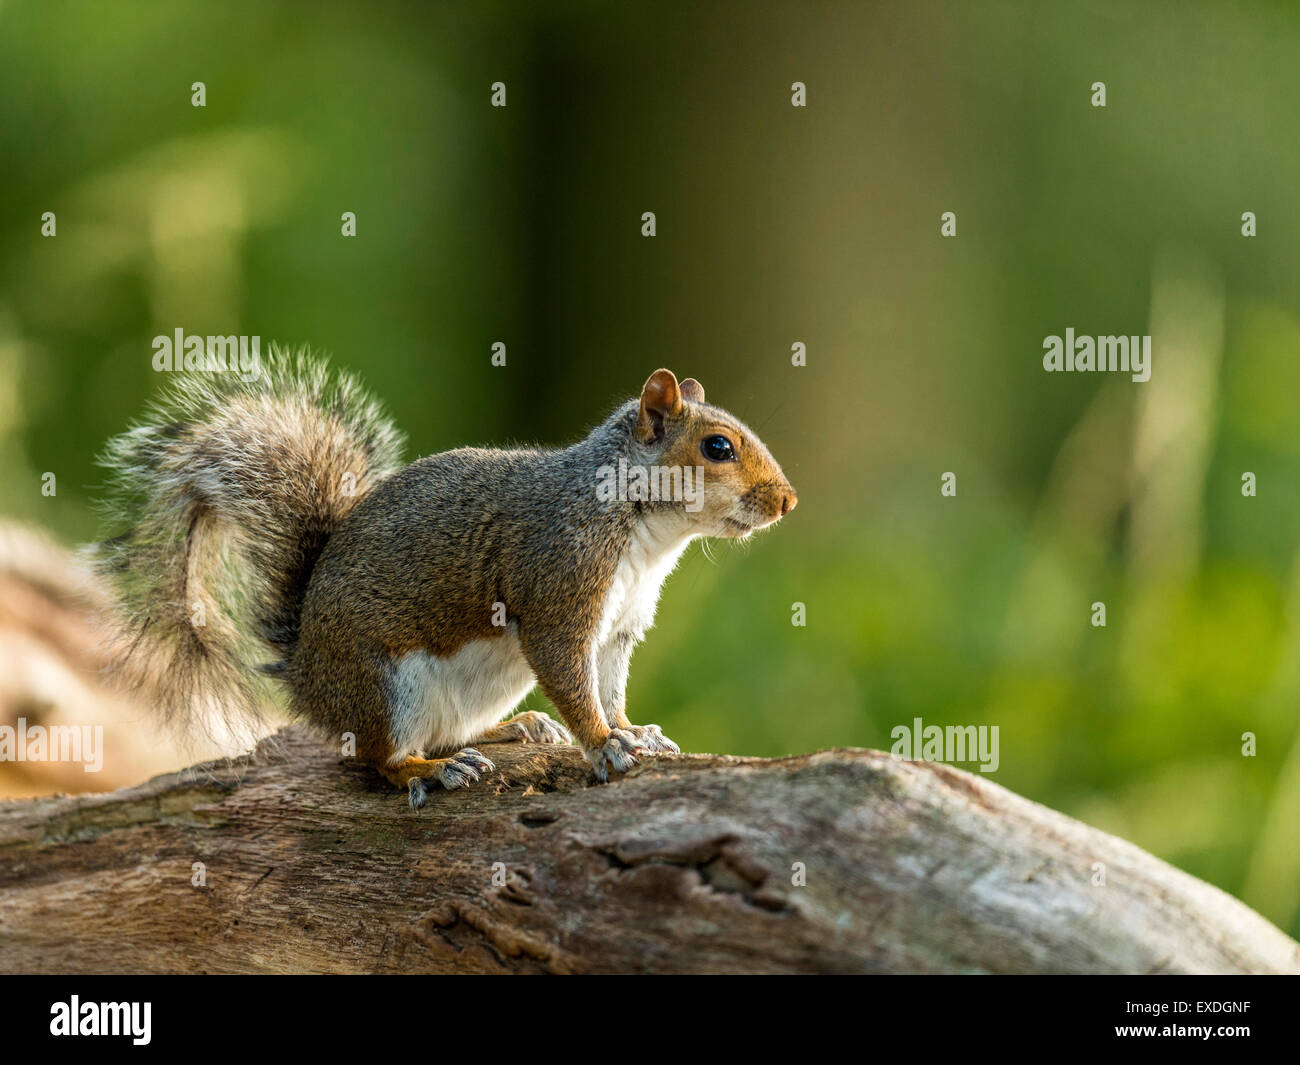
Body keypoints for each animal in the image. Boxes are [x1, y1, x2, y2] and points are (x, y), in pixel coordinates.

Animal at [94, 351, 797, 807]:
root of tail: (308, 676)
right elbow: (571, 677)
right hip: (385, 684)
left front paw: (632, 730)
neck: (642, 530)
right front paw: (603, 744)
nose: (788, 502)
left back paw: (510, 729)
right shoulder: (560, 585)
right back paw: (429, 772)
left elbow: (609, 684)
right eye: (717, 448)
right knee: (381, 759)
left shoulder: (619, 627)